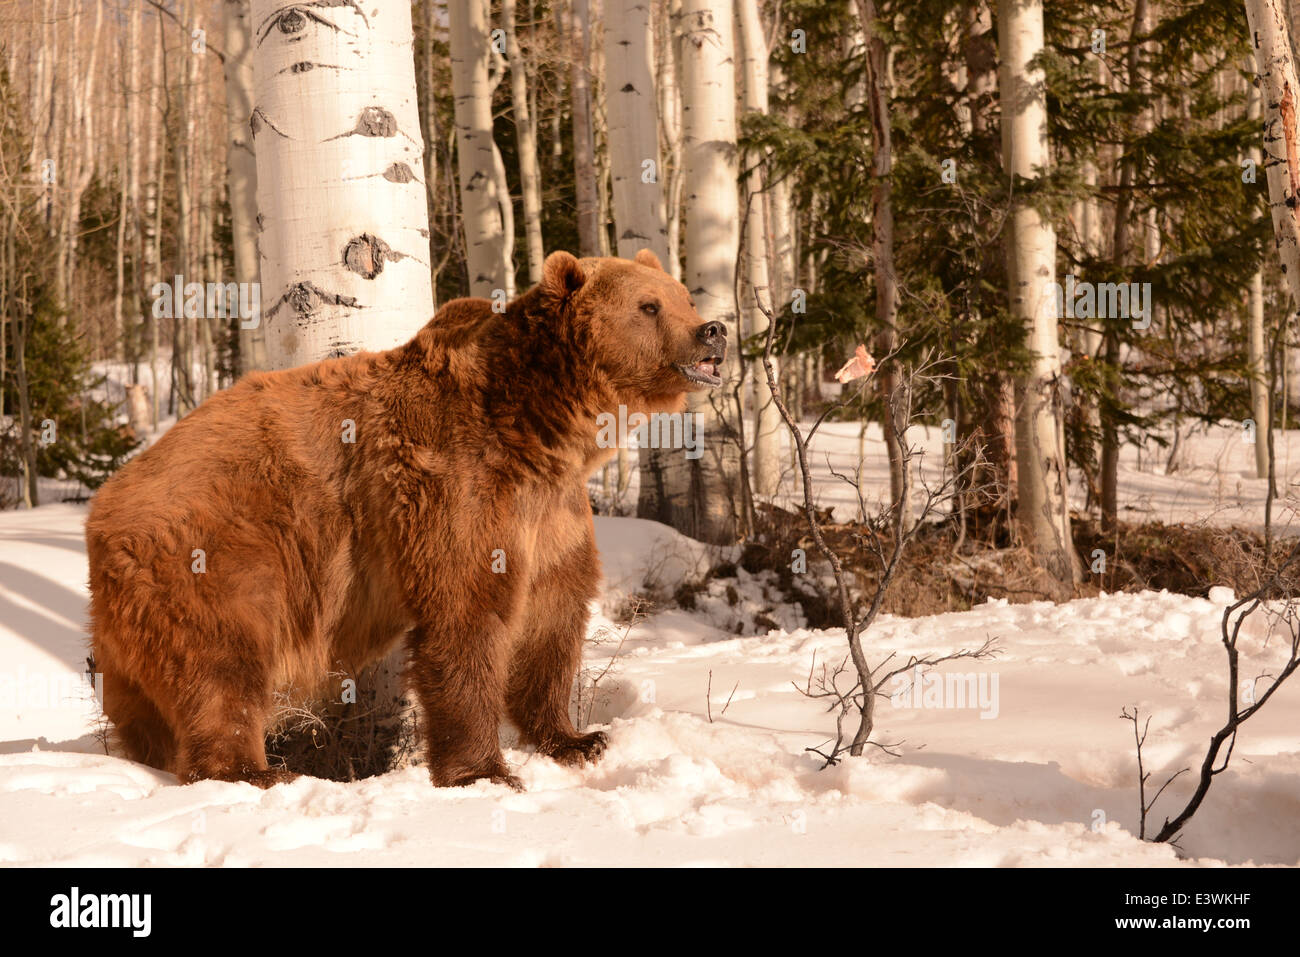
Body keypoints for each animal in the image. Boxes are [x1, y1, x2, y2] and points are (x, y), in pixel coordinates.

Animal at [85, 249, 727, 790]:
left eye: (682, 296)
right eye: (649, 306)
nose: (714, 331)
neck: (540, 426)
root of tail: (103, 509)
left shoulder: (549, 511)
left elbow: (550, 613)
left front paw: (577, 738)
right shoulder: (457, 481)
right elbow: (467, 610)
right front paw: (484, 772)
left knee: (147, 701)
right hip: (217, 553)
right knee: (223, 666)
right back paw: (257, 771)